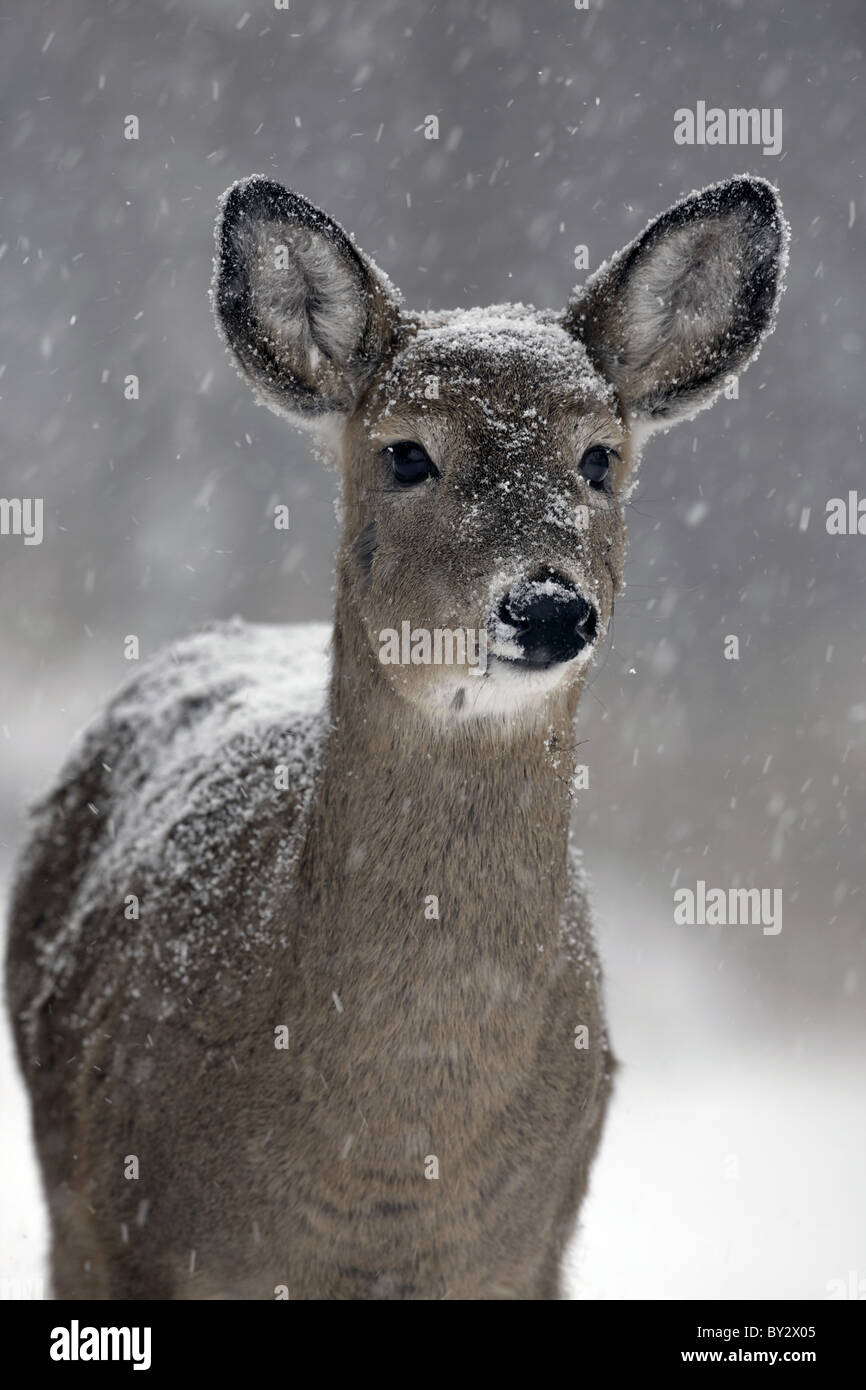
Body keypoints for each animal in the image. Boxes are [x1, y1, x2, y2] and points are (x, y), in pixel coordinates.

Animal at [6, 174, 787, 1300]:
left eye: (598, 456)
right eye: (408, 452)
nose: (548, 606)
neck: (391, 1159)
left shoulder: (527, 1257)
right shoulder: (140, 1237)